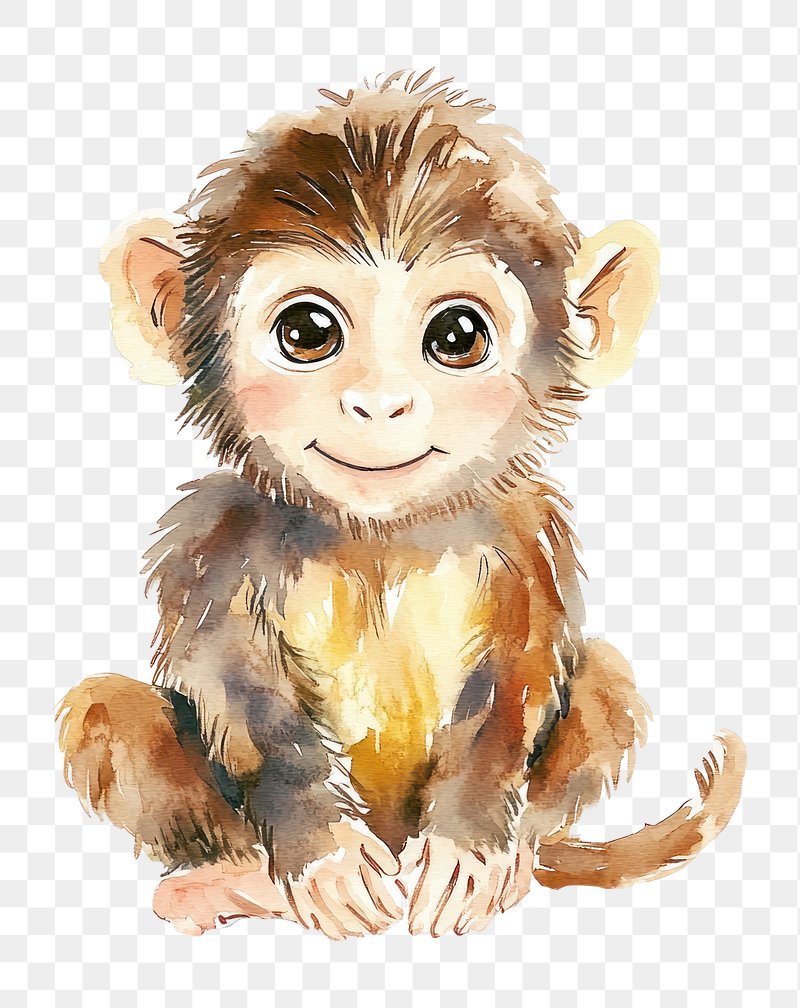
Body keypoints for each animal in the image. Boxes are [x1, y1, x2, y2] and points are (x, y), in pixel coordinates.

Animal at [57, 70, 746, 939]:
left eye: (457, 336)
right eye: (307, 331)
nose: (379, 403)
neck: (378, 538)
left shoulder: (529, 533)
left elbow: (521, 673)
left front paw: (470, 847)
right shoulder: (217, 535)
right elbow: (232, 681)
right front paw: (320, 851)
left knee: (608, 684)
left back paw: (511, 866)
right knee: (104, 709)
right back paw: (233, 880)